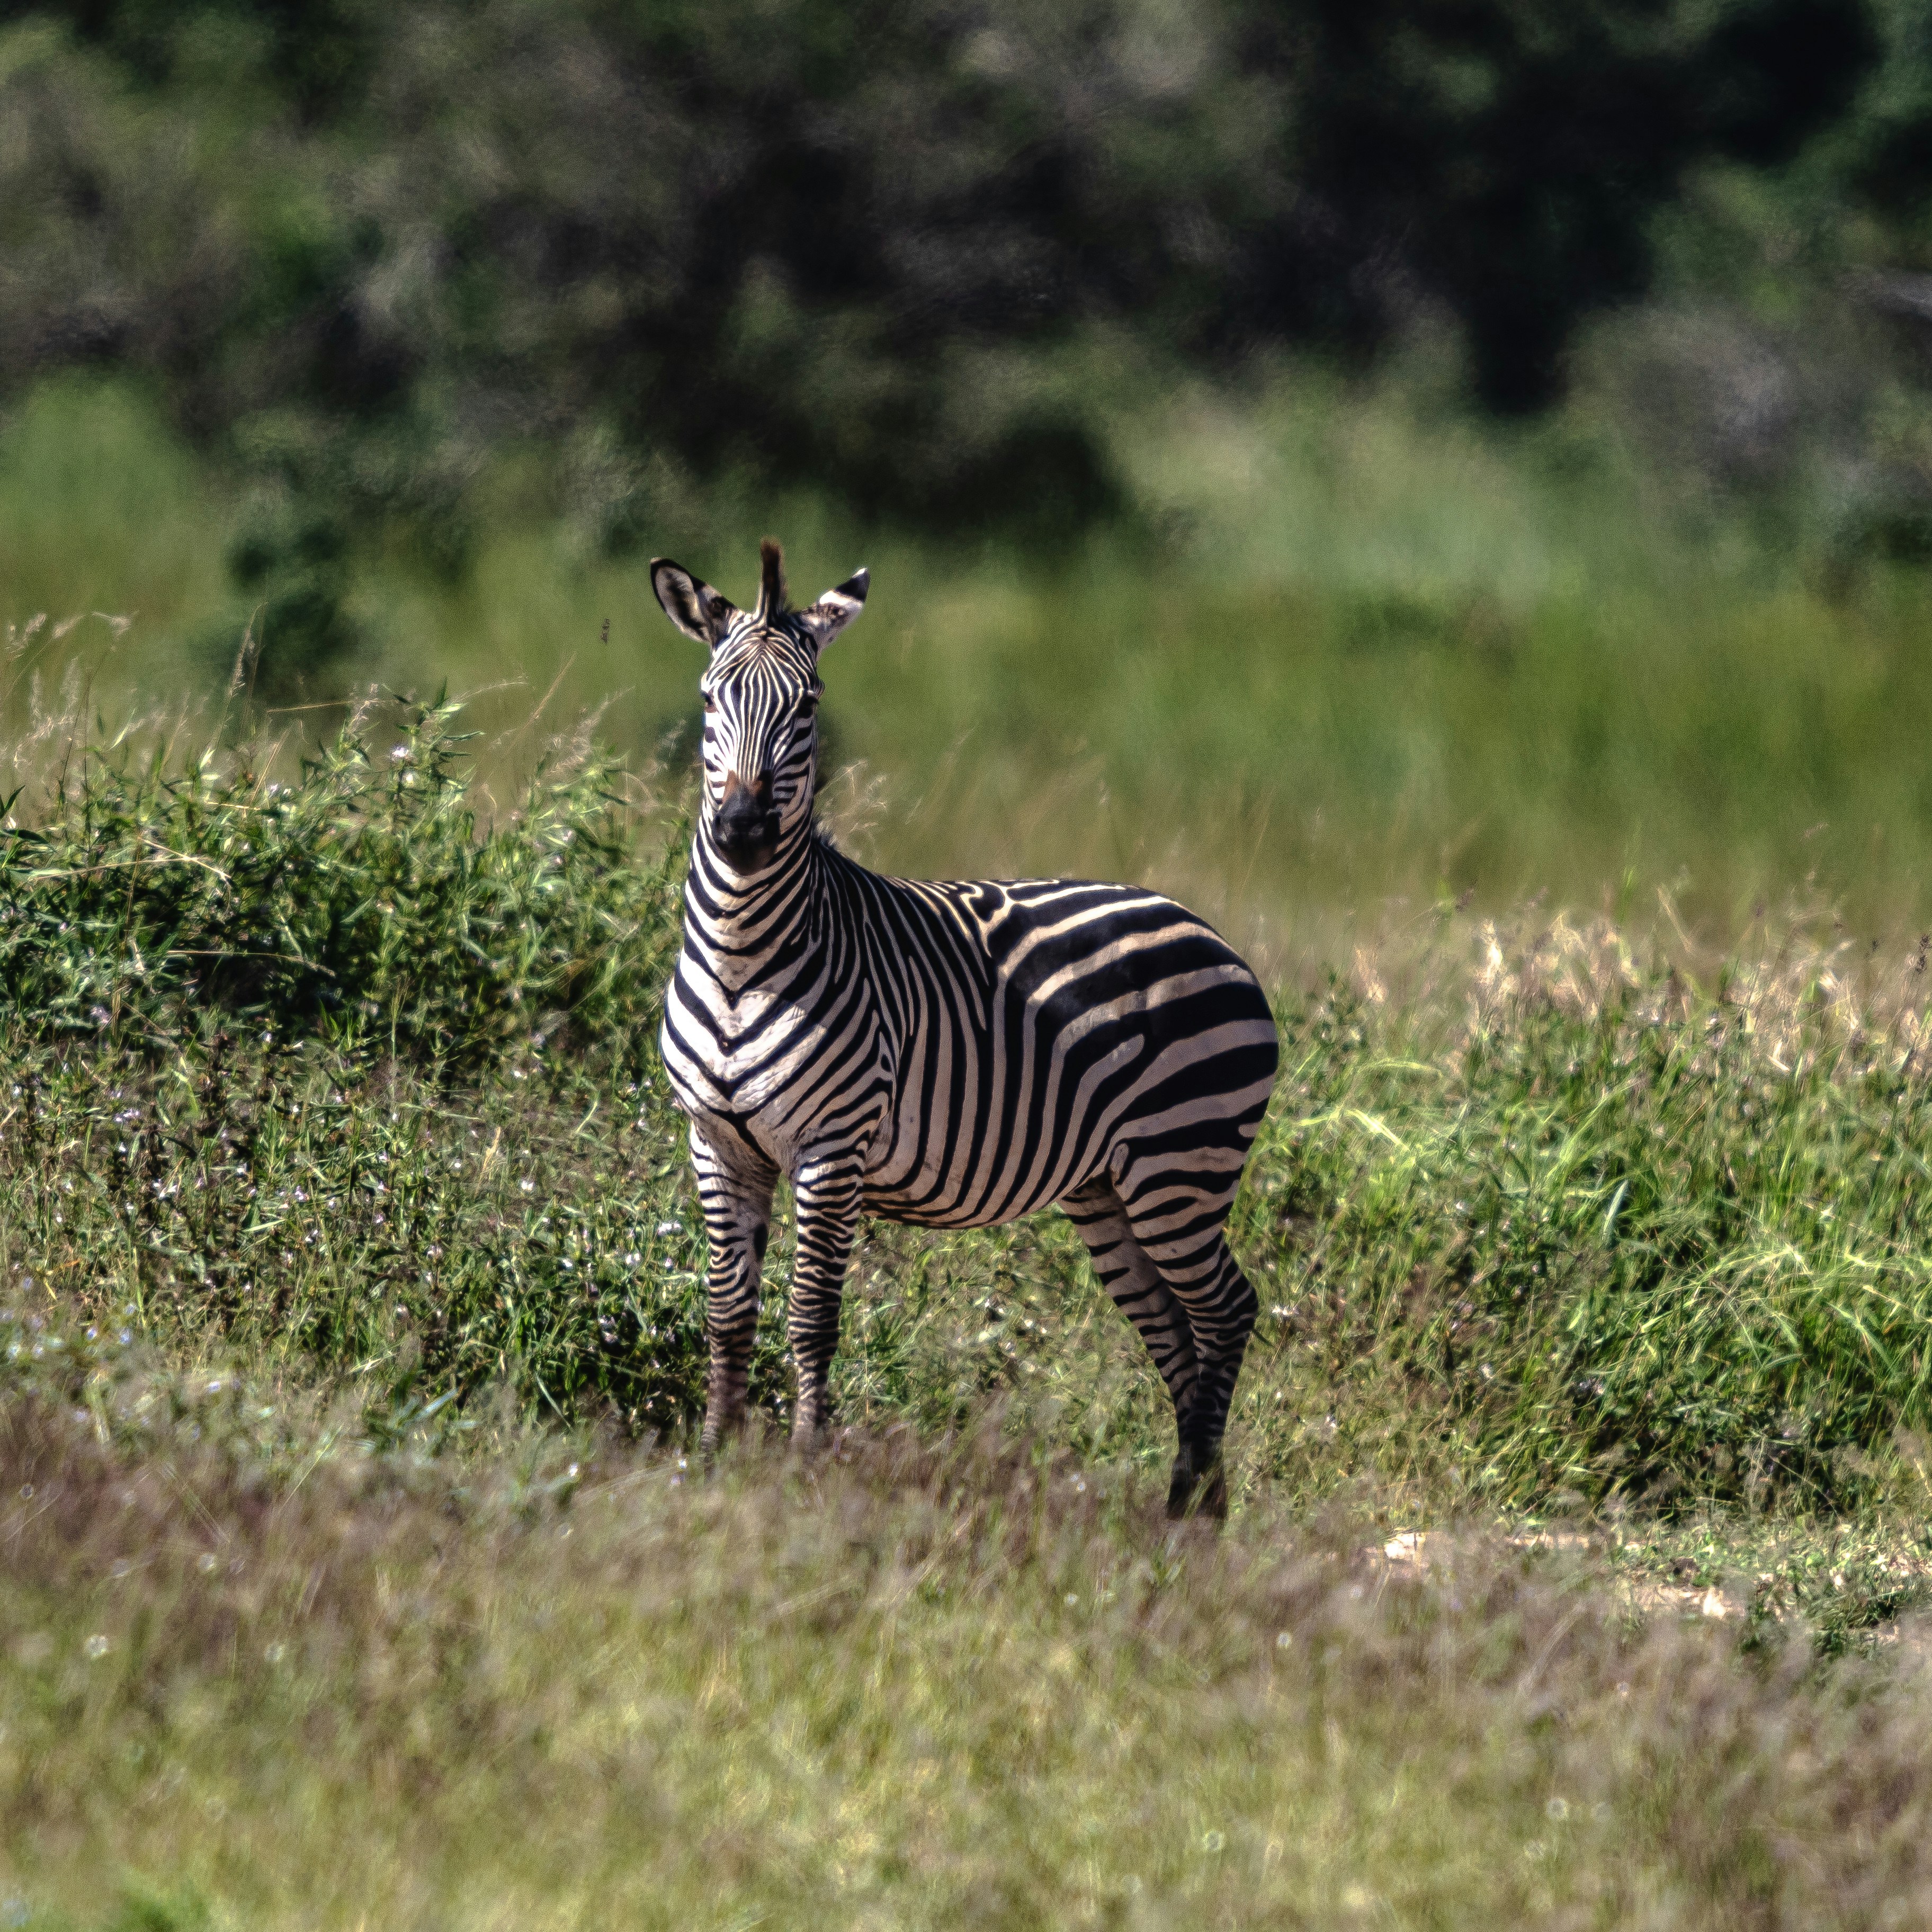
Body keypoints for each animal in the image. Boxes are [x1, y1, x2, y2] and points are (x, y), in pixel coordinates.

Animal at [650, 540, 1279, 1517]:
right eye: (711, 699)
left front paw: (804, 1465)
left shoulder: (832, 1148)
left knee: (1226, 1309)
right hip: (1108, 1190)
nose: (745, 830)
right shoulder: (716, 1141)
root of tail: (1206, 930)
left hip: (1180, 1161)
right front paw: (715, 1458)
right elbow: (726, 1309)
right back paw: (1183, 1506)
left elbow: (810, 1313)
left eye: (808, 708)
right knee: (1174, 1327)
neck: (741, 961)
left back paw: (1198, 1506)